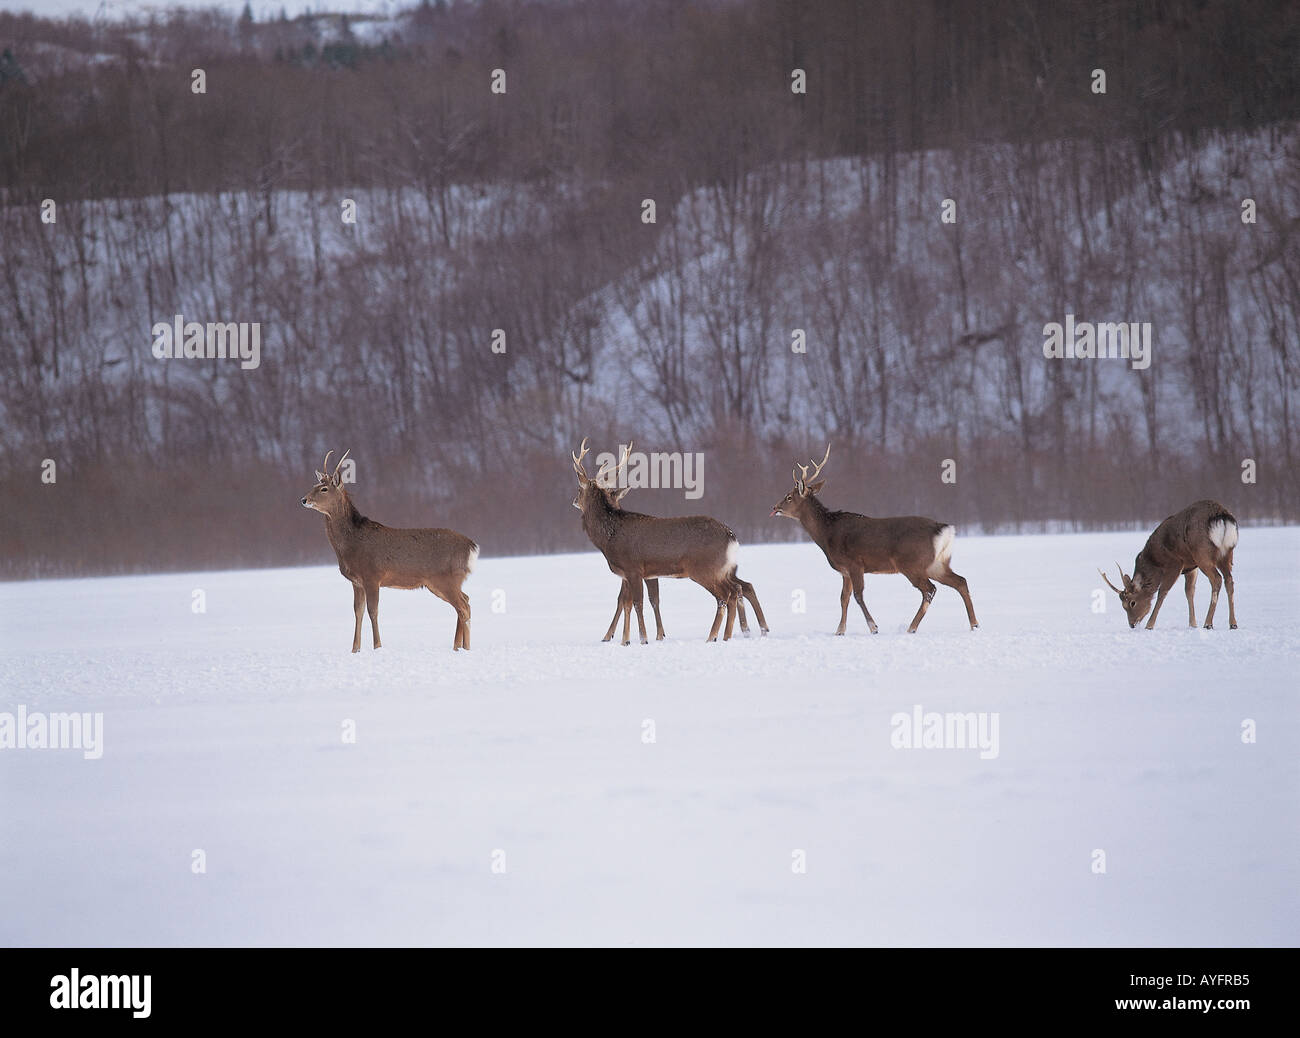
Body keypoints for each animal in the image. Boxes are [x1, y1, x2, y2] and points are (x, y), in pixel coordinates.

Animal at [301, 450, 478, 652]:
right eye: (314, 485)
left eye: (324, 489)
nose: (304, 500)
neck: (349, 546)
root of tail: (472, 546)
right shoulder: (356, 581)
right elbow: (358, 612)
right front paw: (355, 649)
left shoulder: (372, 575)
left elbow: (373, 611)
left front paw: (377, 646)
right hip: (443, 582)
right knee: (465, 601)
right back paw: (457, 647)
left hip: (445, 578)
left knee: (463, 607)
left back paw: (466, 648)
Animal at [572, 438, 768, 644]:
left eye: (579, 489)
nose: (574, 500)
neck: (608, 538)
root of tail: (731, 536)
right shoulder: (631, 574)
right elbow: (628, 603)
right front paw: (626, 640)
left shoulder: (634, 568)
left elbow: (637, 603)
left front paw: (642, 639)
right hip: (722, 570)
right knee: (739, 588)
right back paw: (736, 634)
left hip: (704, 568)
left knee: (726, 595)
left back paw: (714, 636)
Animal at [770, 444, 979, 635]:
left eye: (788, 497)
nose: (774, 507)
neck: (826, 534)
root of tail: (944, 529)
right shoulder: (845, 571)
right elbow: (843, 598)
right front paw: (840, 631)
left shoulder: (855, 563)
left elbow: (858, 596)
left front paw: (873, 627)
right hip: (936, 563)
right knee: (960, 581)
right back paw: (974, 624)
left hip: (911, 563)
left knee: (930, 589)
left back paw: (912, 627)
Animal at [1099, 500, 1239, 630]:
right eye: (1123, 605)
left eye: (1132, 603)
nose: (1132, 624)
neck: (1154, 561)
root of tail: (1222, 517)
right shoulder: (1191, 567)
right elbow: (1189, 592)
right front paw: (1192, 624)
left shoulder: (1175, 563)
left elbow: (1162, 592)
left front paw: (1149, 625)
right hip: (1226, 552)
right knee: (1229, 580)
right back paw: (1233, 623)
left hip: (1201, 552)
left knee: (1216, 579)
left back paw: (1208, 623)